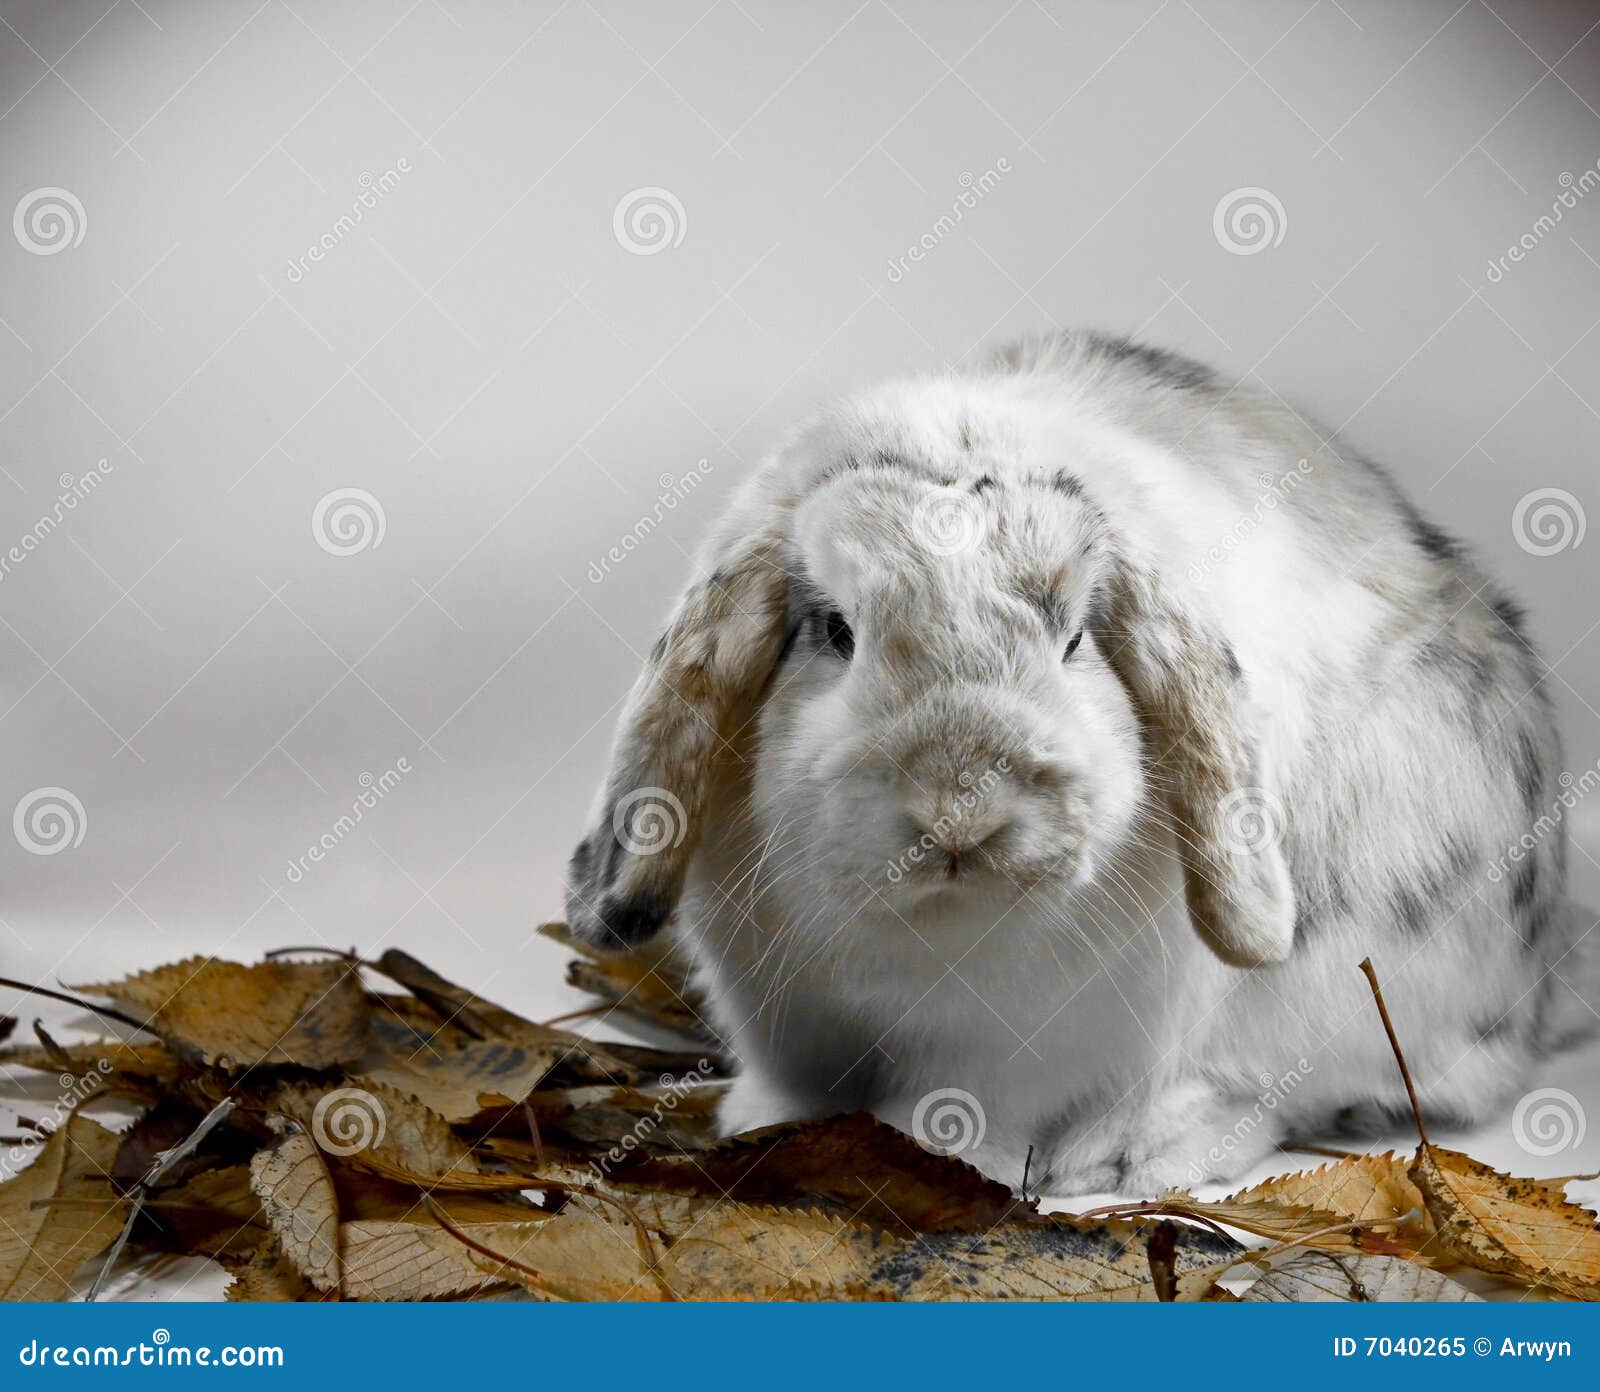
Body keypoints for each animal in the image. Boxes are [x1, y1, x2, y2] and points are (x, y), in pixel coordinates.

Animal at [565, 329, 1594, 1194]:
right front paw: (756, 1128)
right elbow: (794, 1090)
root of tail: (1541, 978)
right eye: (835, 631)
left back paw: (1124, 1153)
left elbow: (958, 1115)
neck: (933, 934)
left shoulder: (1010, 1061)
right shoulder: (789, 1027)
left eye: (1076, 641)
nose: (961, 810)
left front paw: (939, 1158)